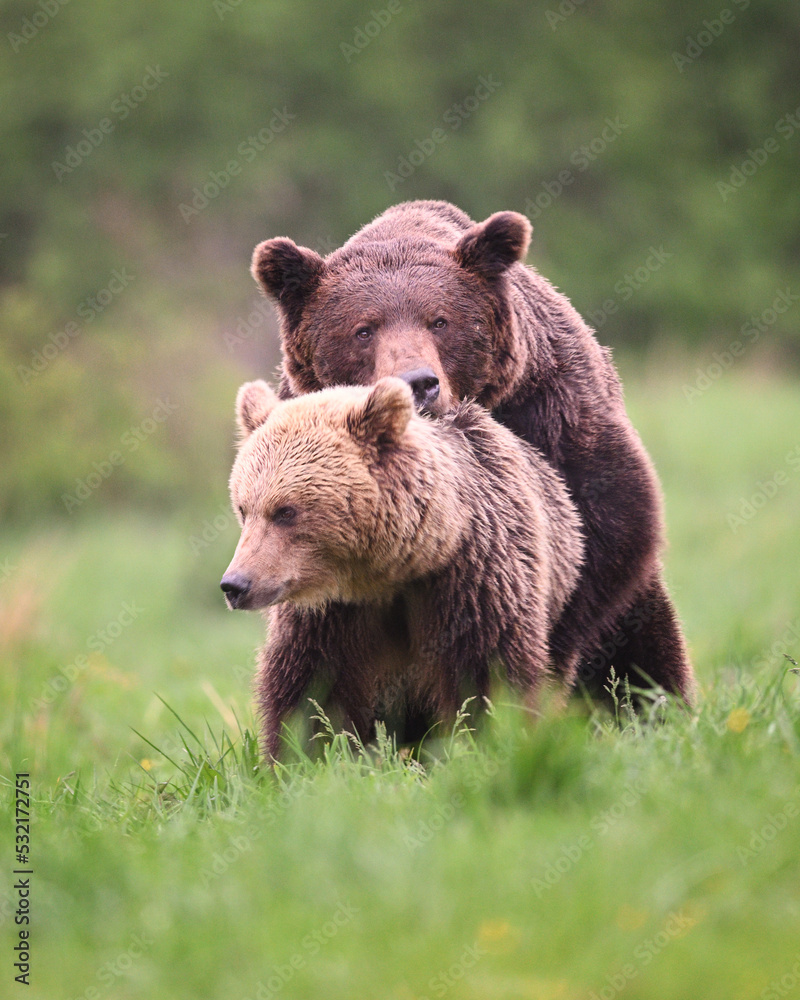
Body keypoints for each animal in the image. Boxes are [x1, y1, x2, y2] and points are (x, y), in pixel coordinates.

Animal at [221, 376, 585, 760]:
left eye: (285, 511)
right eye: (243, 508)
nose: (235, 584)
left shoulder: (473, 579)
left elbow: (488, 674)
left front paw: (492, 740)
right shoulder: (331, 615)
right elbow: (310, 690)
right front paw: (304, 756)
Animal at [249, 199, 694, 704]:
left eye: (440, 320)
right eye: (363, 330)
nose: (419, 382)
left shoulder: (551, 410)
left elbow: (608, 520)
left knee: (644, 654)